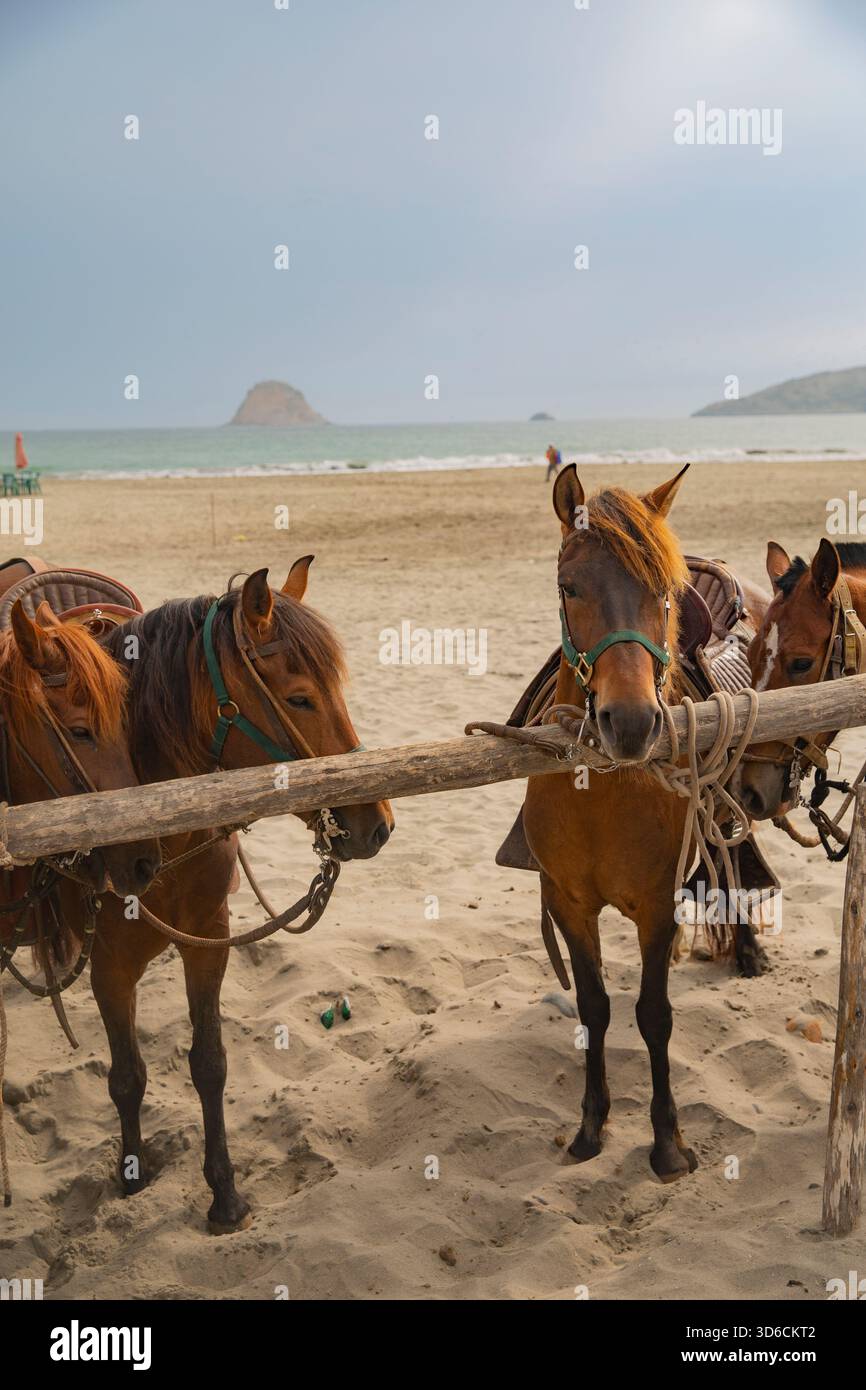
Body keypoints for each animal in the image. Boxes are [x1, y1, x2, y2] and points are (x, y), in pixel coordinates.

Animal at [56, 560, 393, 1233]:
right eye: (299, 697)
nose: (377, 824)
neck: (159, 818)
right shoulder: (110, 967)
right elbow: (126, 1077)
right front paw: (132, 1175)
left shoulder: (209, 939)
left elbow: (209, 1063)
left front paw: (225, 1195)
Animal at [521, 464, 707, 1182]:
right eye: (568, 587)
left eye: (663, 591)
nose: (629, 723)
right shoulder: (568, 902)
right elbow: (594, 1008)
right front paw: (591, 1123)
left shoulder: (657, 904)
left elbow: (653, 1015)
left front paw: (667, 1141)